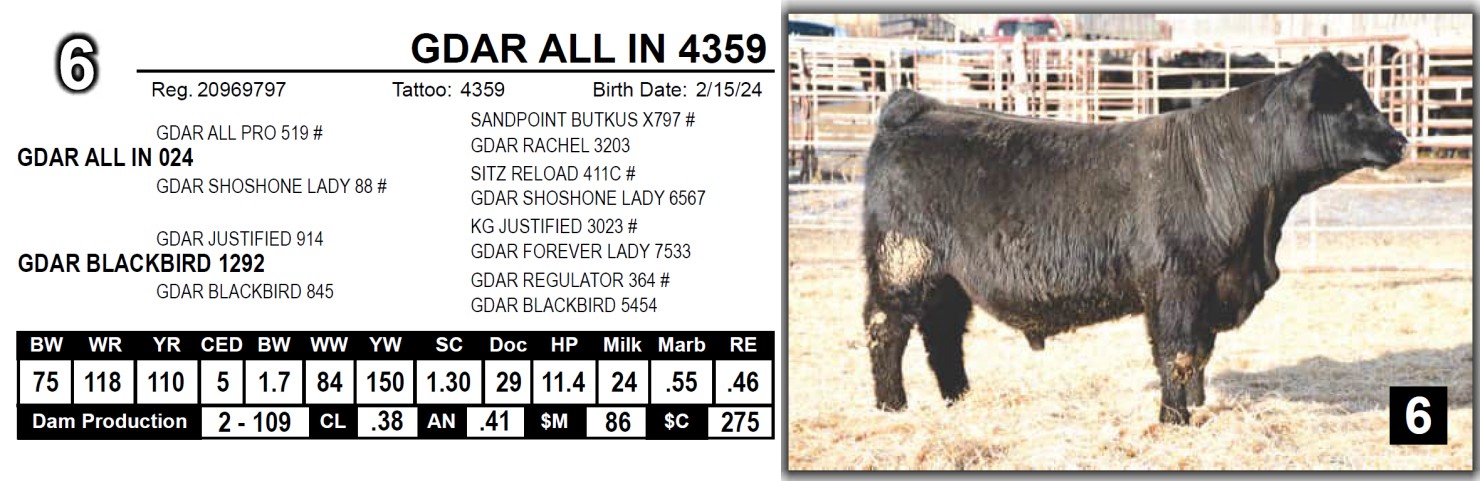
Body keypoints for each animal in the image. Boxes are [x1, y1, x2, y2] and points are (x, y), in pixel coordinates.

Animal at [861, 52, 1408, 424]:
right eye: (1350, 105)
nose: (1400, 141)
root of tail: (918, 108)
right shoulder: (1175, 283)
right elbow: (1177, 353)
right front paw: (1174, 420)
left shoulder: (1208, 289)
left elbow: (1200, 354)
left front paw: (1194, 409)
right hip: (901, 263)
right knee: (886, 330)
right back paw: (893, 408)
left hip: (947, 278)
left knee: (943, 334)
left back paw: (959, 400)